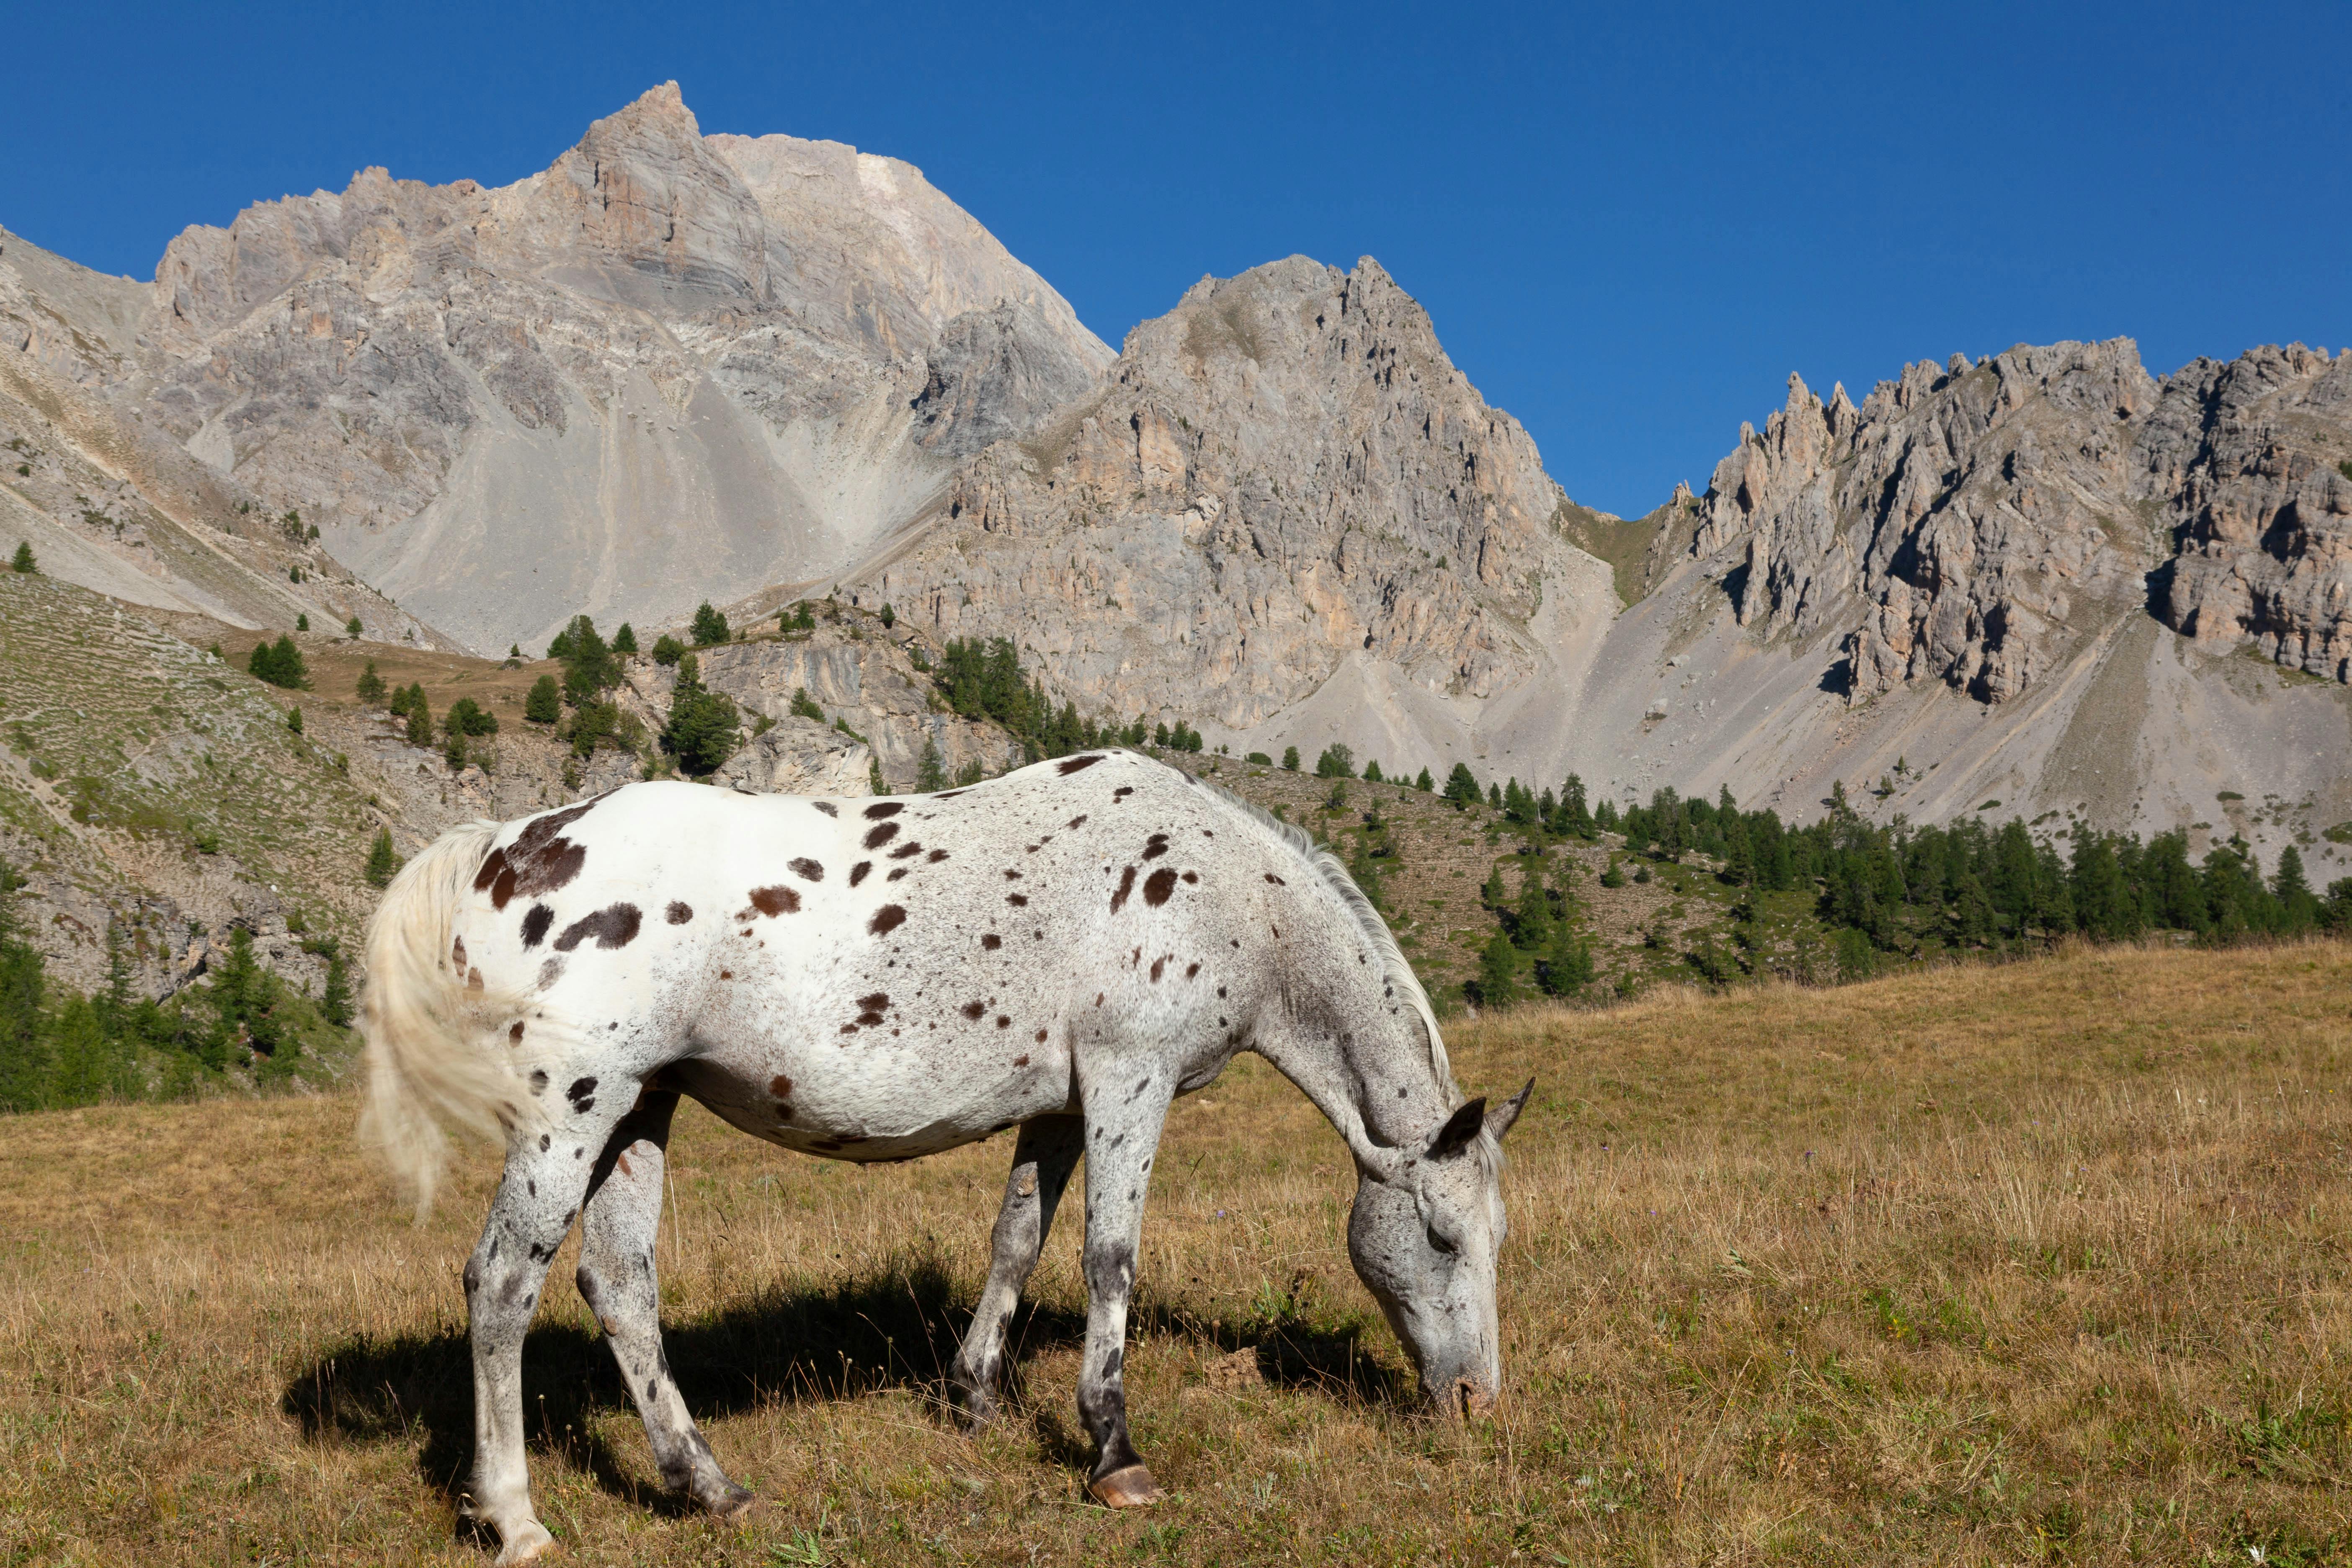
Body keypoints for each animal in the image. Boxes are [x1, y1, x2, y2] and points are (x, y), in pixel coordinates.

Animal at [361, 749, 1529, 1564]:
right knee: (502, 1282)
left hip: (639, 1109)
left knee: (618, 1283)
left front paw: (972, 1397)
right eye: (1440, 1235)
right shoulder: (1129, 1082)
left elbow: (1018, 1238)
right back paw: (515, 1518)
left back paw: (708, 1485)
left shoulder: (1060, 1110)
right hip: (571, 1113)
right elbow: (1110, 1260)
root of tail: (505, 847)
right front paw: (1114, 1453)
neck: (1225, 891)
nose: (1478, 1401)